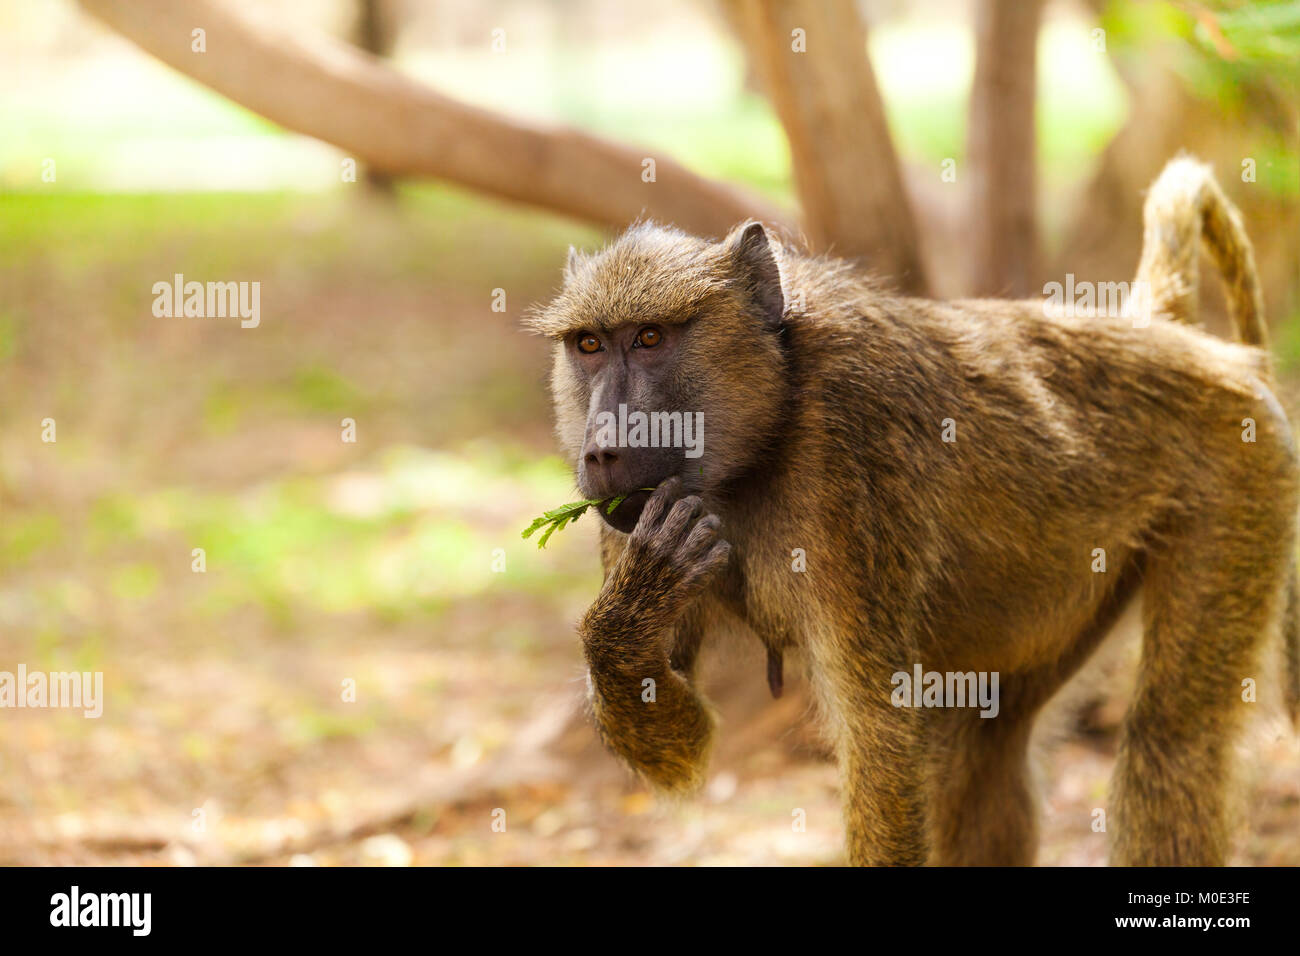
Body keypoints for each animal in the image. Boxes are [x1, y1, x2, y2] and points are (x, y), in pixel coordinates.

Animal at [526, 156, 1299, 866]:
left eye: (651, 338)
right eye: (589, 345)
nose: (602, 450)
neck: (771, 421)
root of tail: (1177, 341)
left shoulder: (850, 464)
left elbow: (879, 733)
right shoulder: (634, 517)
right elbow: (686, 752)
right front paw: (631, 609)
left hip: (1241, 471)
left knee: (1170, 742)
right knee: (984, 755)